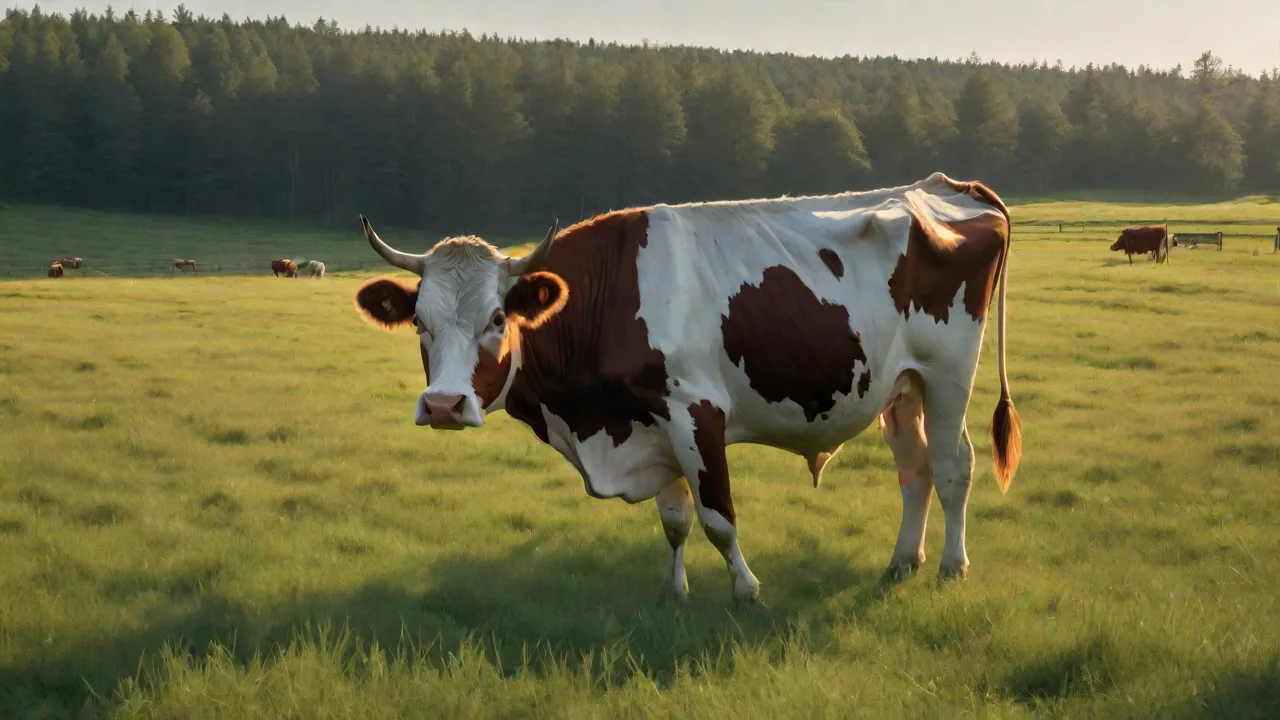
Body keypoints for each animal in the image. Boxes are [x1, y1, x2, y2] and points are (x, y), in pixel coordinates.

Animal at [351, 171, 1023, 603]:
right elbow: (674, 521)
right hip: (900, 386)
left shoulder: (694, 412)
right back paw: (902, 561)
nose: (444, 405)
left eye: (496, 319)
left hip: (947, 373)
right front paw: (674, 591)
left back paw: (951, 566)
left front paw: (747, 590)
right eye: (419, 322)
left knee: (953, 466)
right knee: (915, 470)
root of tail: (946, 186)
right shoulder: (650, 425)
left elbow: (717, 515)